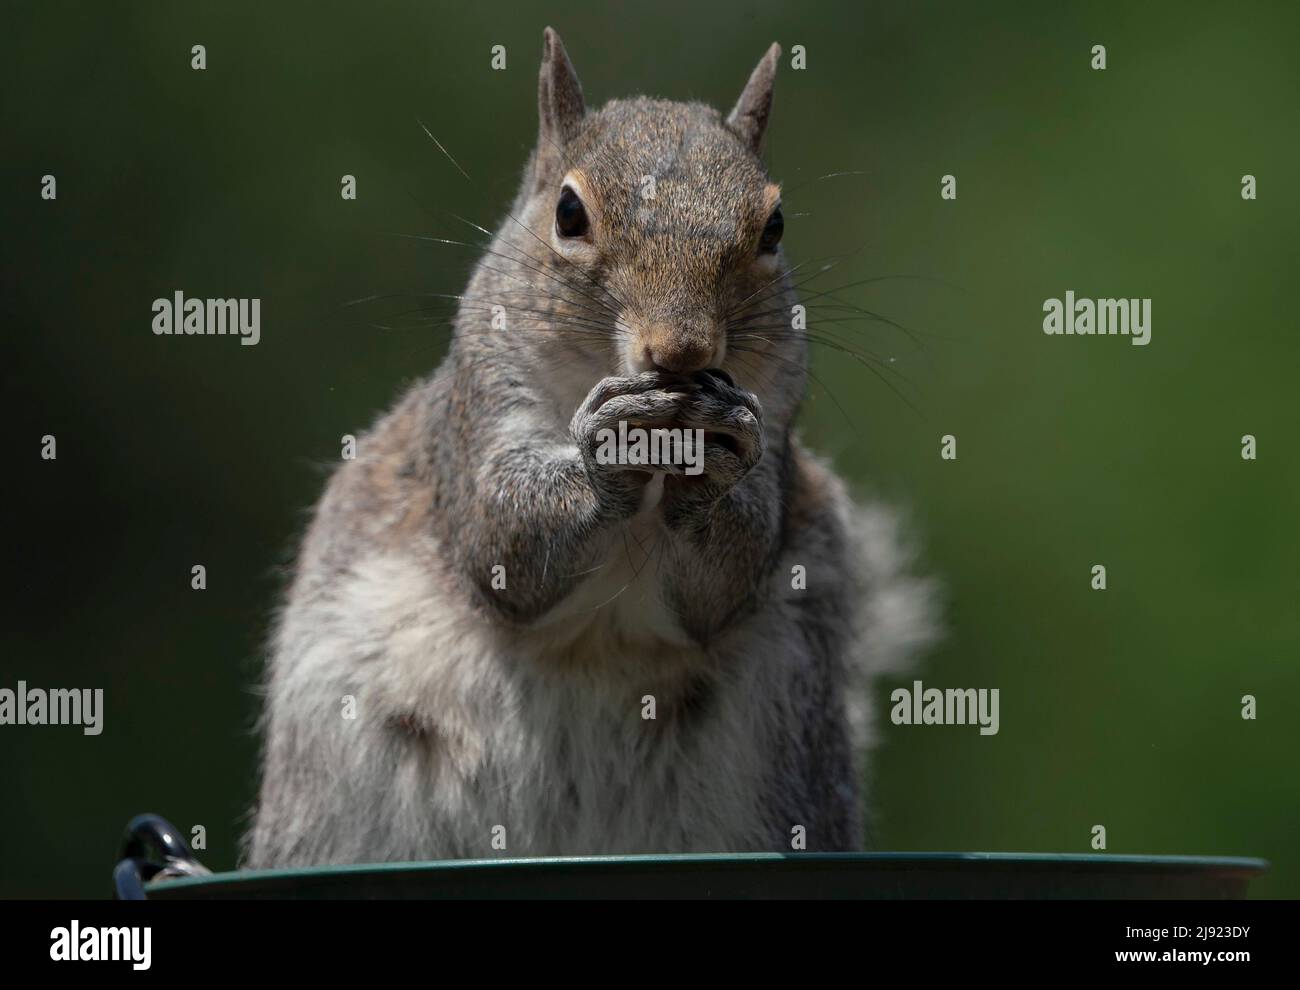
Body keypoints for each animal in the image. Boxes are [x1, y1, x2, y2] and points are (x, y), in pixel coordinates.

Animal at [244, 28, 935, 867]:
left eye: (774, 227)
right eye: (569, 213)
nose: (681, 350)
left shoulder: (777, 427)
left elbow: (722, 586)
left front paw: (712, 472)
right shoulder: (477, 414)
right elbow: (503, 541)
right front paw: (604, 453)